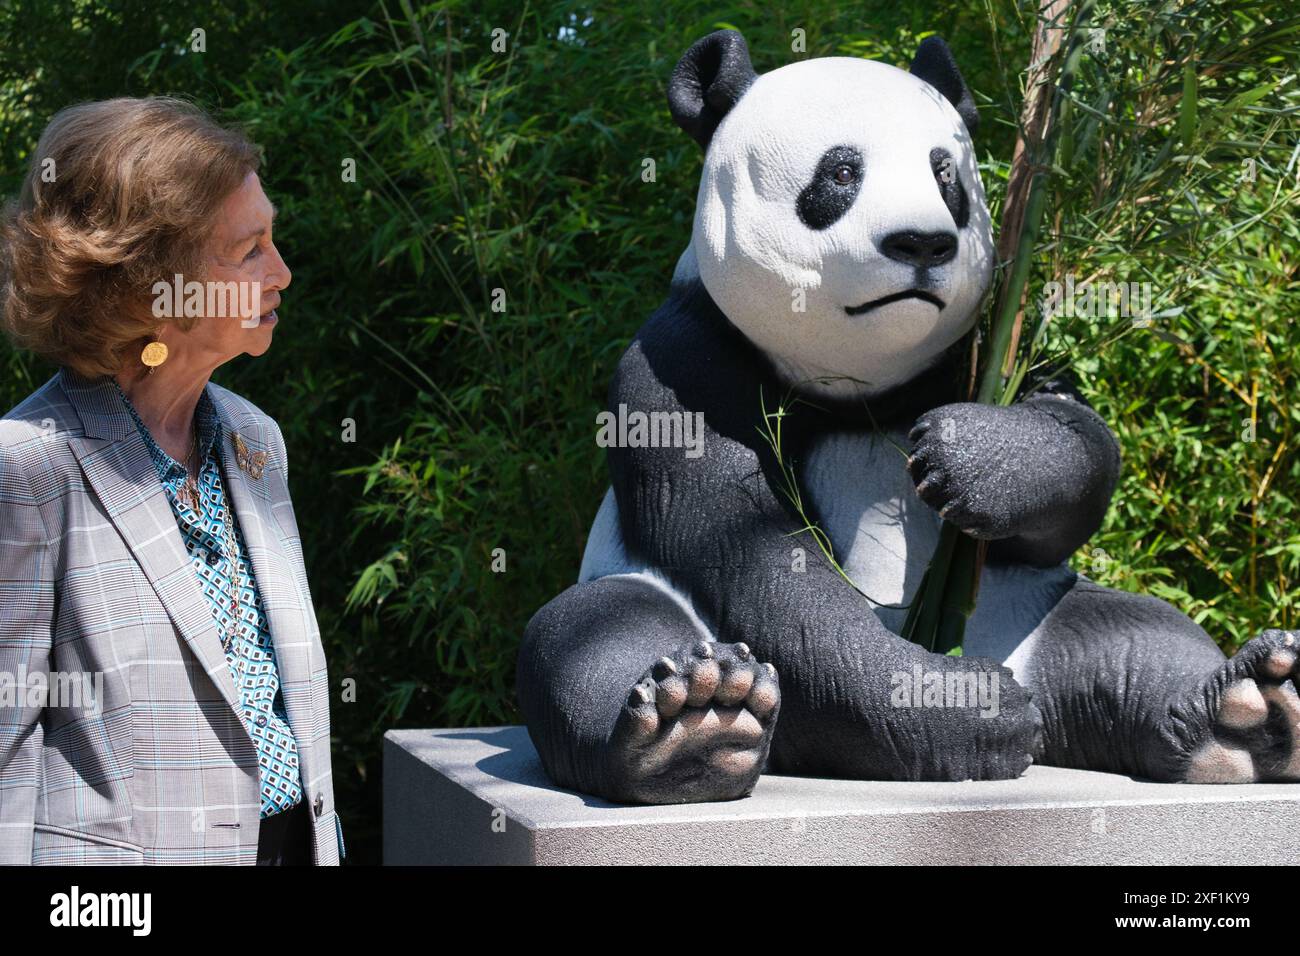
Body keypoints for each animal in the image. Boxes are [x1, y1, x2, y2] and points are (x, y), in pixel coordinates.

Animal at [516, 29, 1300, 804]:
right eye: (840, 173)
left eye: (946, 175)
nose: (923, 242)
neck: (858, 381)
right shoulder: (683, 360)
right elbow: (748, 548)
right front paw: (963, 711)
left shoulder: (983, 343)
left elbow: (1074, 453)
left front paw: (976, 457)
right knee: (593, 634)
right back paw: (697, 728)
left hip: (1025, 604)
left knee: (1129, 634)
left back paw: (1244, 714)